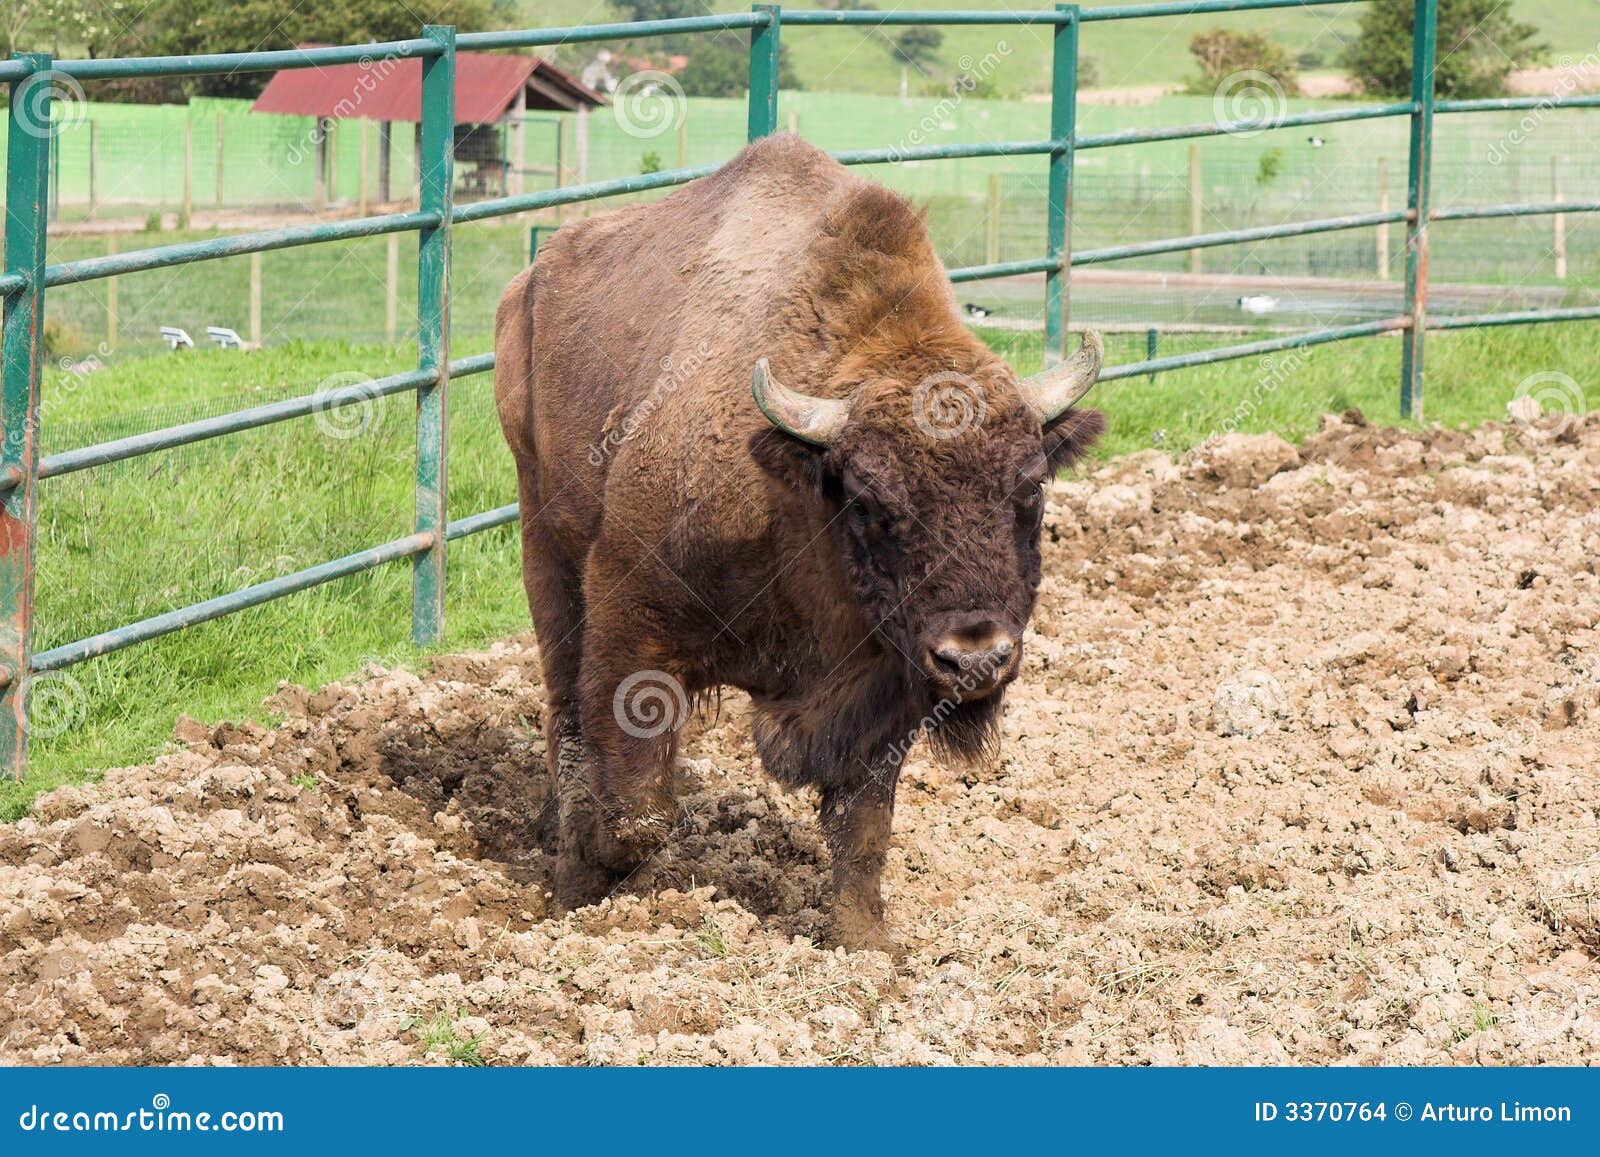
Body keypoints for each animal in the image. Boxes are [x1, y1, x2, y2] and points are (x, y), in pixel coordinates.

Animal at [494, 134, 1103, 950]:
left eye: (1030, 492)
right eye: (872, 501)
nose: (977, 657)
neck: (803, 498)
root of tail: (529, 283)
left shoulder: (887, 689)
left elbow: (864, 825)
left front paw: (864, 943)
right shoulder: (631, 622)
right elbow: (636, 811)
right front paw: (582, 887)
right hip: (546, 547)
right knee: (563, 713)